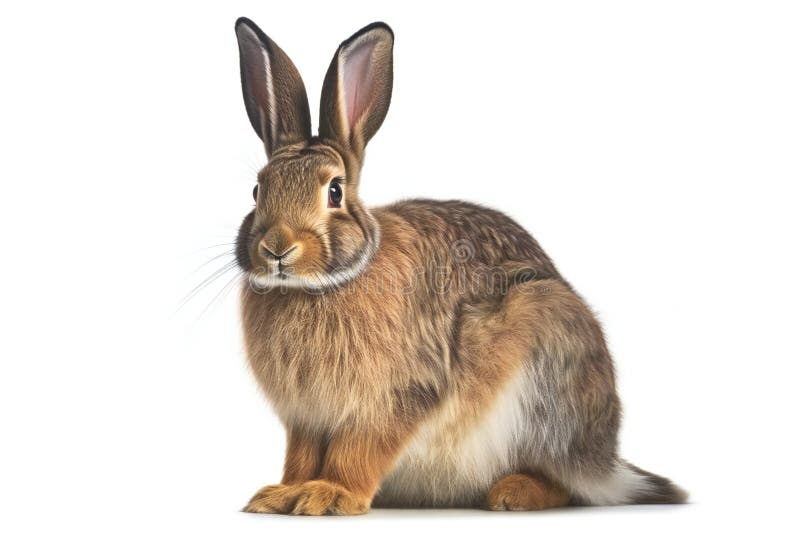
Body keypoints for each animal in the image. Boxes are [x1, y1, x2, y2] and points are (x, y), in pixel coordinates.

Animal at [232, 17, 687, 515]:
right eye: (257, 190)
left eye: (334, 191)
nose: (277, 248)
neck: (319, 286)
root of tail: (606, 465)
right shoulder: (306, 419)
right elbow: (301, 457)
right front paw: (280, 495)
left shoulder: (398, 396)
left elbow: (358, 451)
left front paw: (331, 495)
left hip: (545, 368)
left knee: (562, 480)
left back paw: (512, 492)